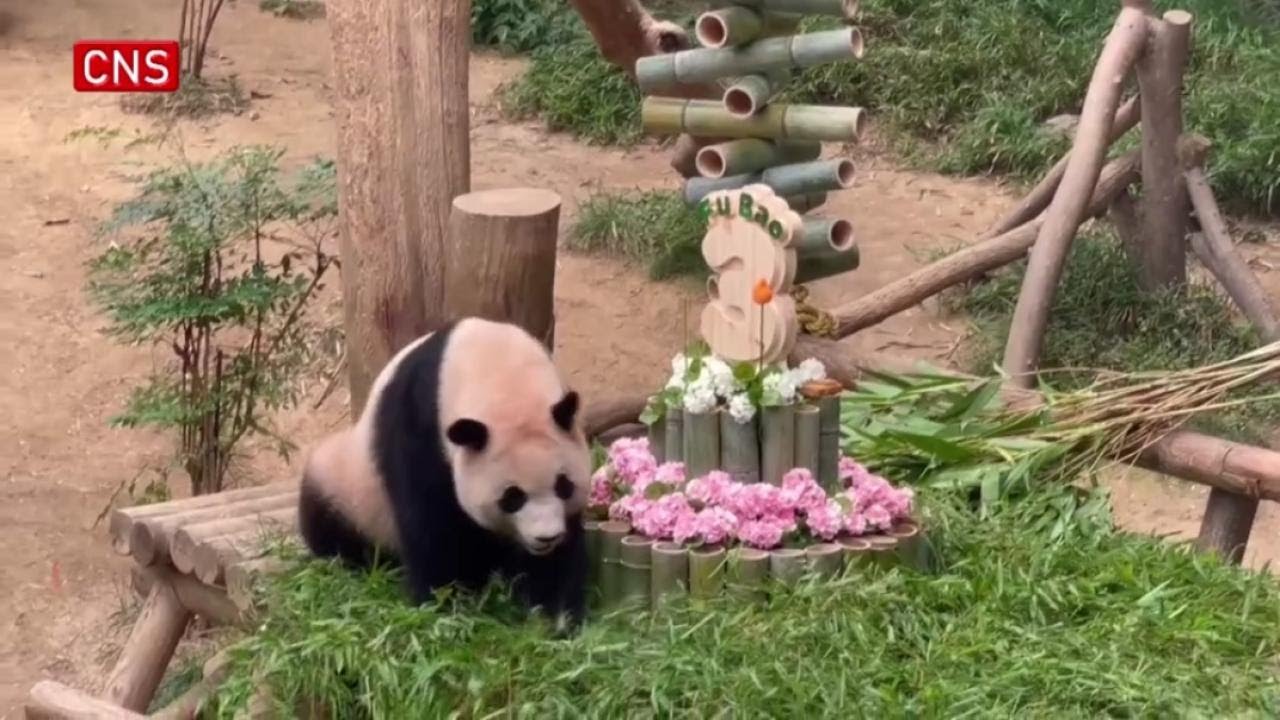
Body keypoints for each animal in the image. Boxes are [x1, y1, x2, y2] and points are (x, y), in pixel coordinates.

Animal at [297, 317, 592, 628]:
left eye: (564, 486)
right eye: (512, 497)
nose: (546, 538)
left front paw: (556, 615)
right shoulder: (420, 425)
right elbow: (430, 523)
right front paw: (445, 604)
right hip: (347, 484)